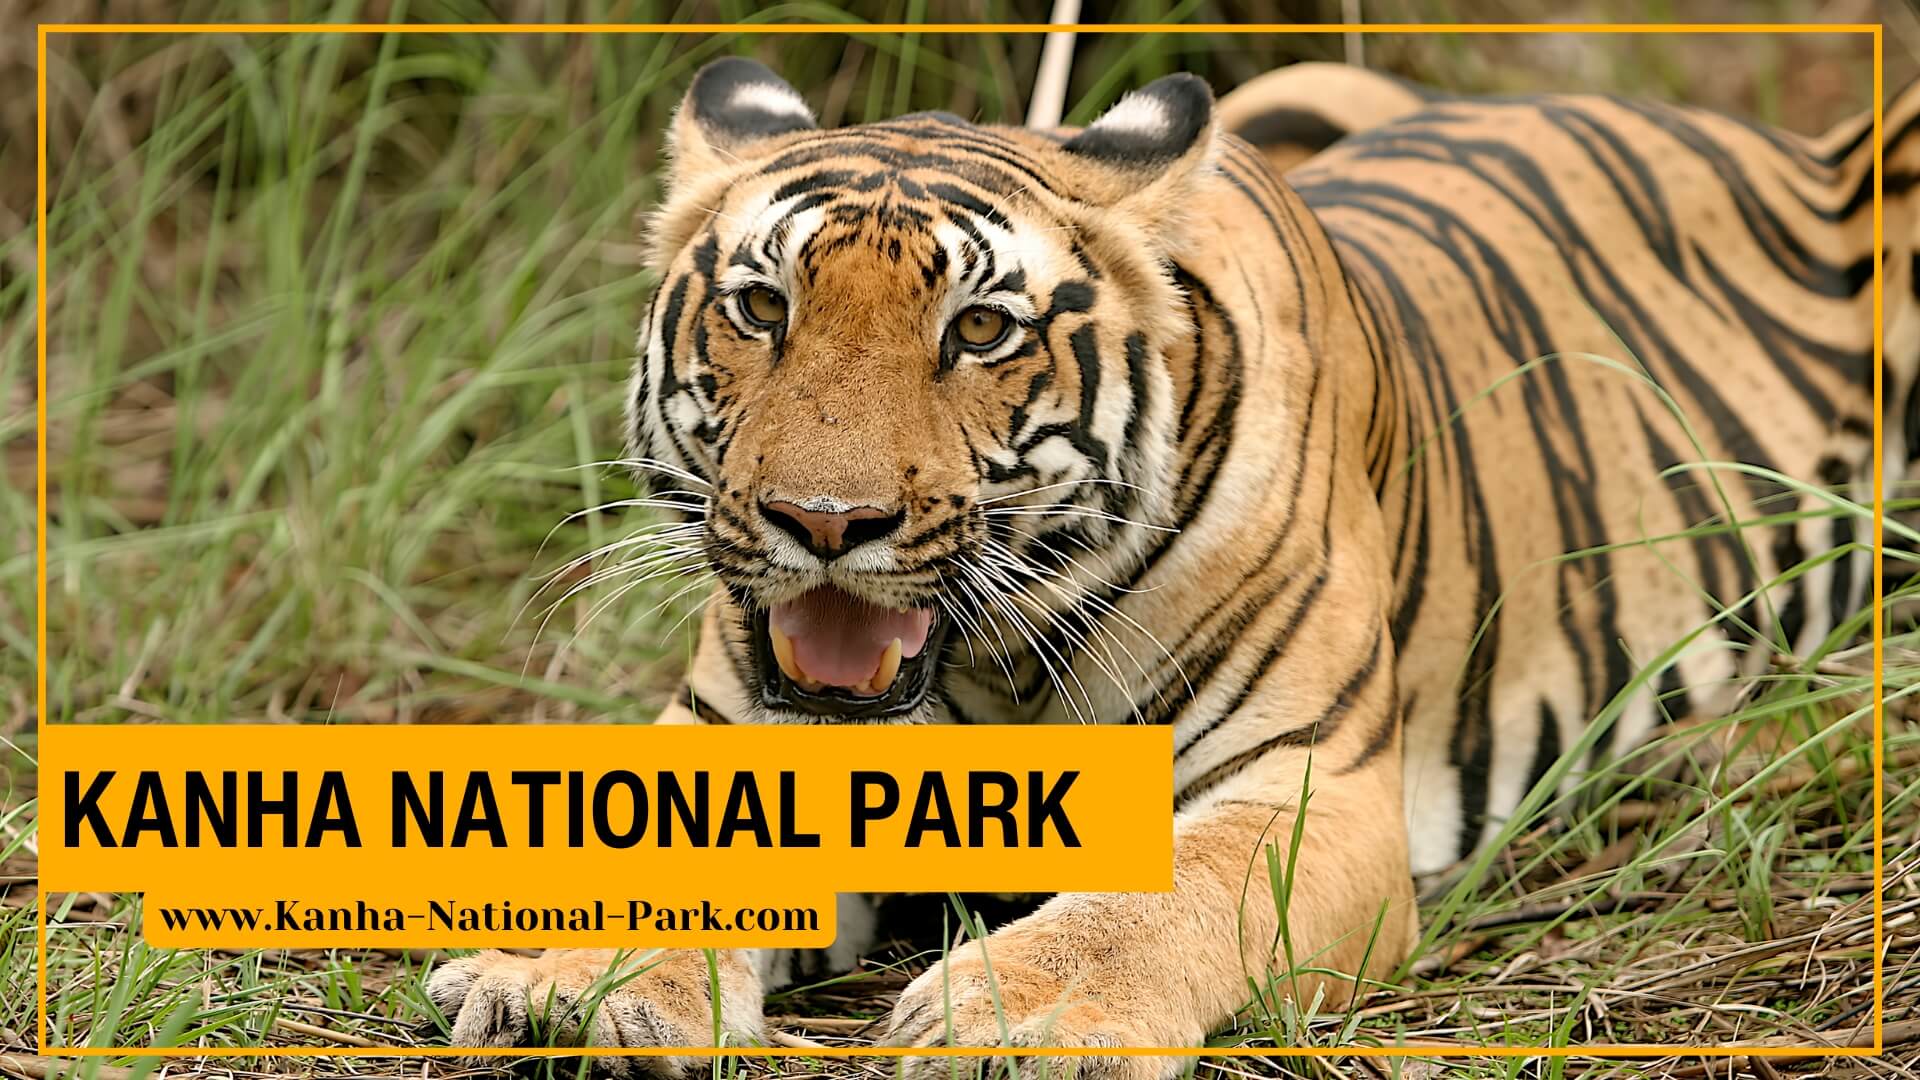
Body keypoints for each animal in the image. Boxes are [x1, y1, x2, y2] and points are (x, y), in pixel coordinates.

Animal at [426, 56, 1915, 1076]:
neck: (992, 672)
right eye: (760, 307)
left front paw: (1016, 1016)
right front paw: (563, 987)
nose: (825, 520)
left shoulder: (1314, 784)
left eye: (980, 329)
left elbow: (1172, 894)